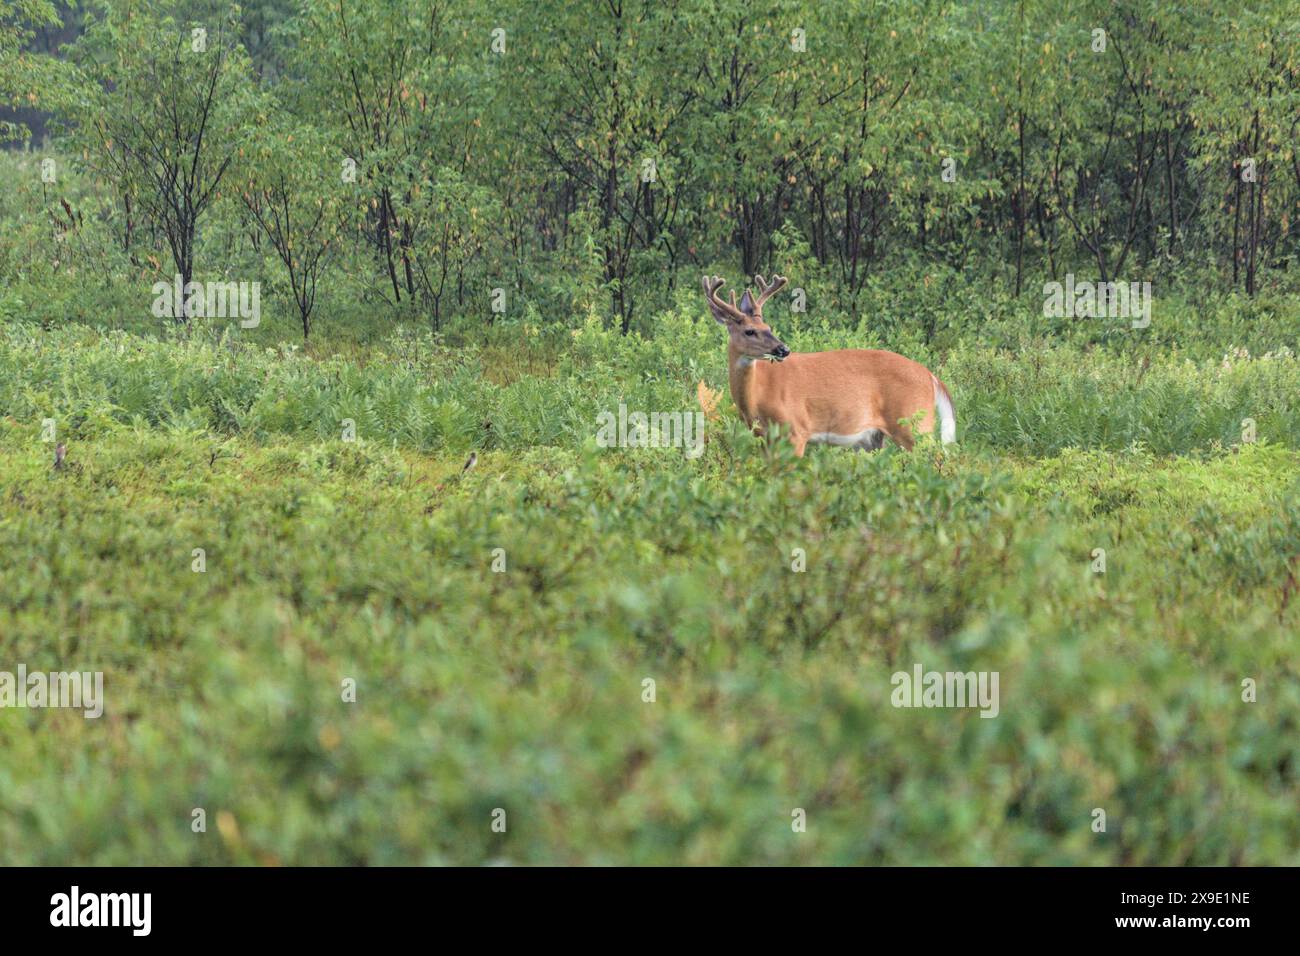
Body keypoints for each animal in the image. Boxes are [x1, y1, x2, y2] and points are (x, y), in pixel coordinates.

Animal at [702, 274, 955, 456]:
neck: (757, 396)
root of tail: (930, 376)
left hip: (913, 424)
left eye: (769, 327)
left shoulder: (796, 429)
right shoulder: (763, 437)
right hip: (874, 438)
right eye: (750, 331)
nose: (783, 349)